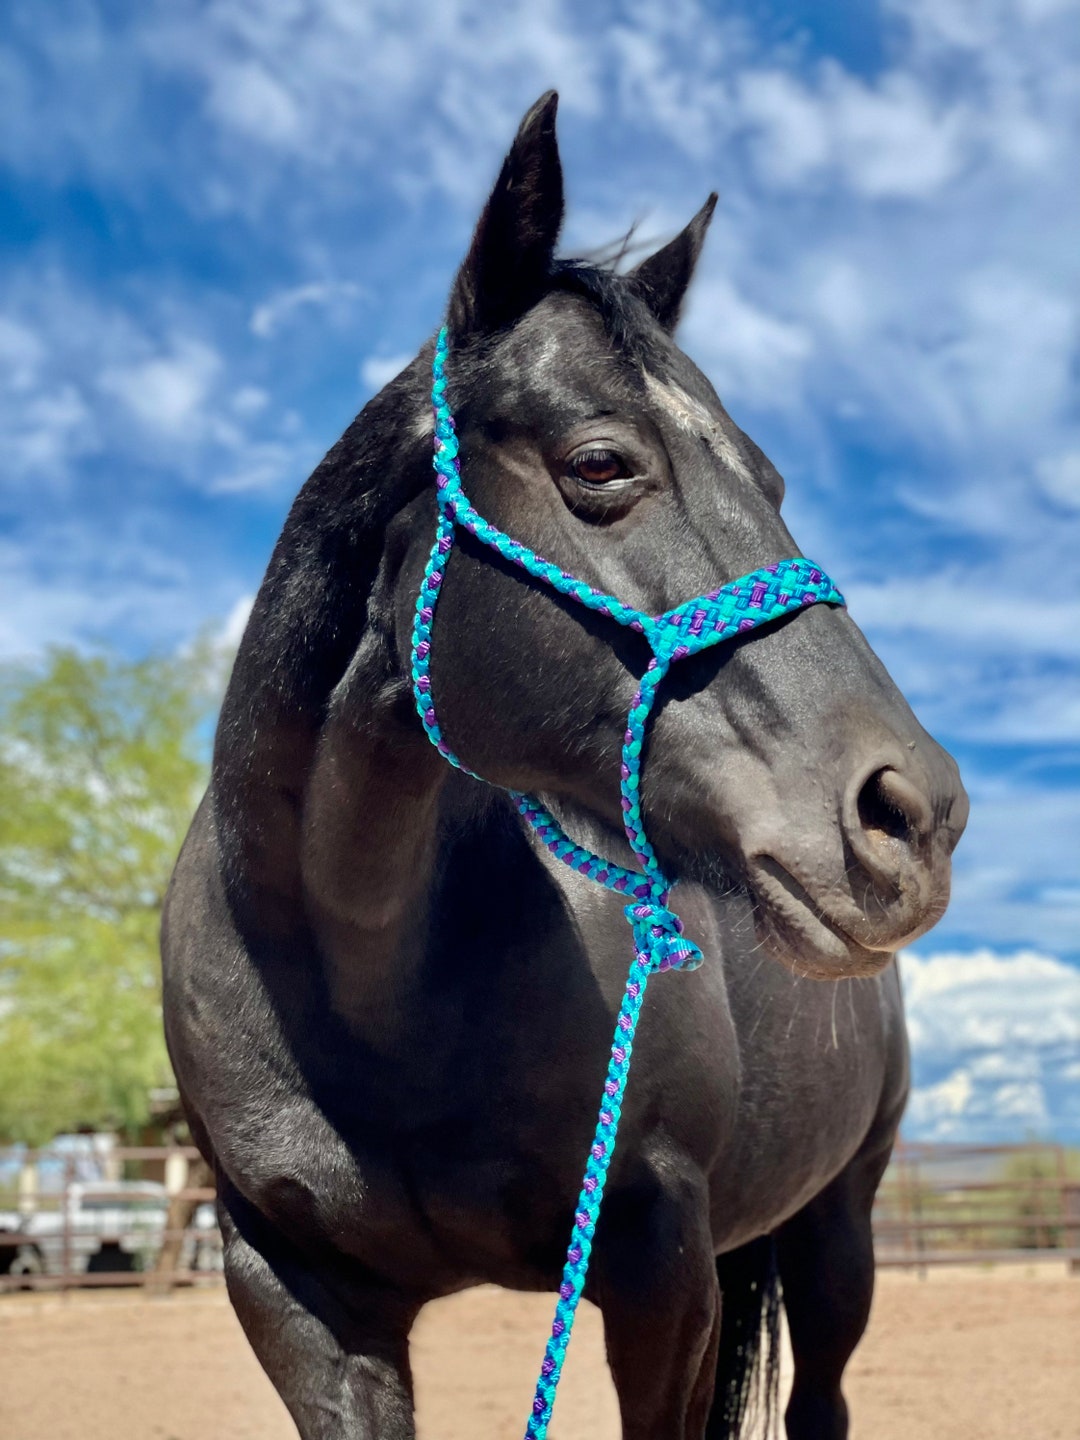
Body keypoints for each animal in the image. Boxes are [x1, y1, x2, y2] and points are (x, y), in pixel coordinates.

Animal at [162, 93, 967, 1440]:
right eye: (601, 463)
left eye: (772, 480)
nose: (914, 814)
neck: (365, 990)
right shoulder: (298, 1297)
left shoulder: (660, 1266)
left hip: (838, 1225)